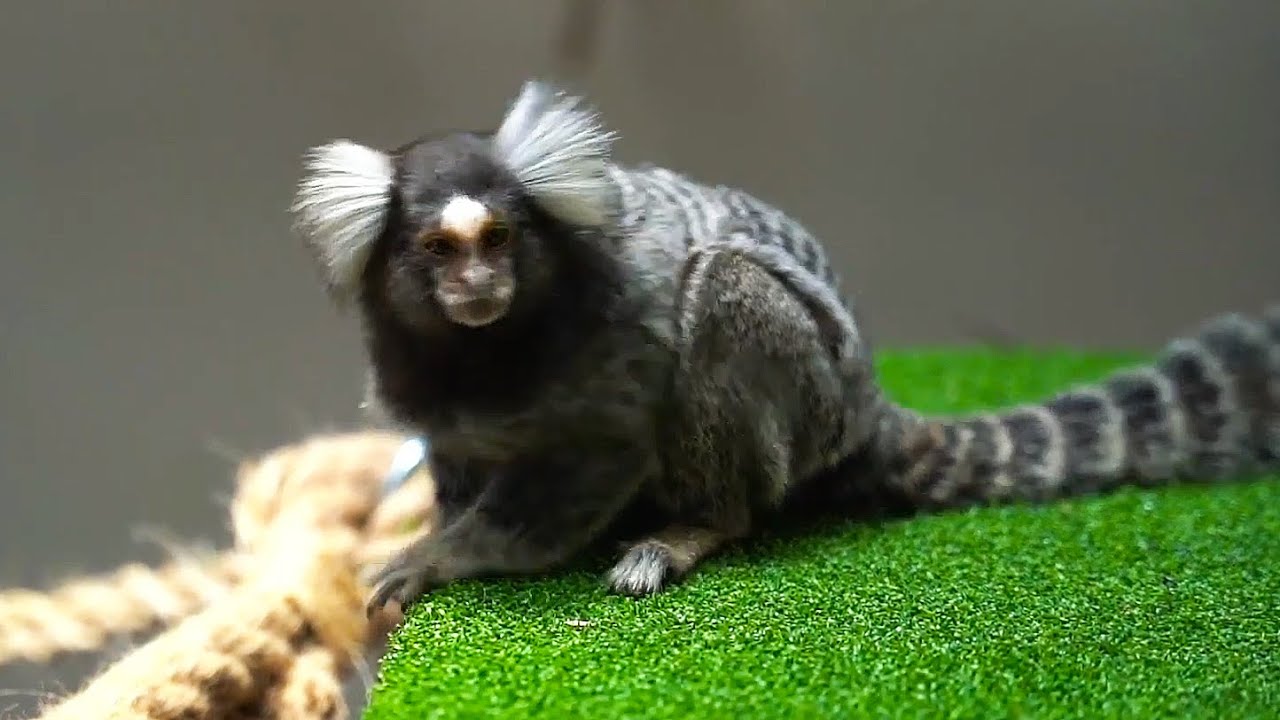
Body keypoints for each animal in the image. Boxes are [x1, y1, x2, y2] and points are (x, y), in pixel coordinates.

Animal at [288, 79, 1280, 615]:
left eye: (497, 238)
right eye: (437, 248)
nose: (477, 285)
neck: (486, 351)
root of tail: (873, 409)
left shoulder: (600, 375)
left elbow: (580, 472)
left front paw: (443, 555)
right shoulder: (436, 400)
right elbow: (460, 463)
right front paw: (435, 527)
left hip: (810, 398)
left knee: (724, 294)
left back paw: (691, 530)